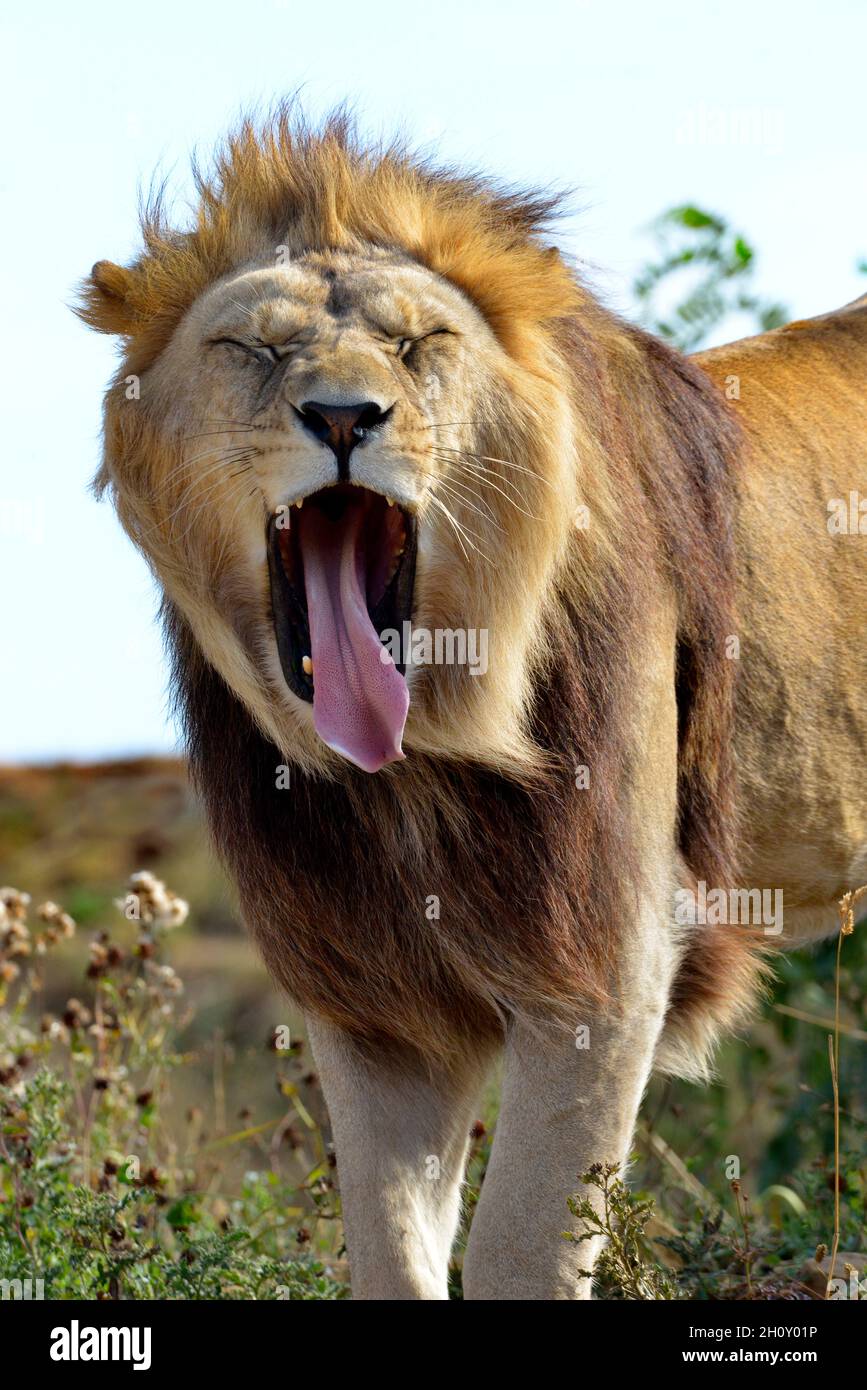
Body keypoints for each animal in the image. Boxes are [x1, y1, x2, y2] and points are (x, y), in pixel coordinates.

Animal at [78, 108, 867, 1300]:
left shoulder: (605, 971)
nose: (344, 416)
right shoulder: (373, 1001)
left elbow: (517, 1250)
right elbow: (392, 1251)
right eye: (252, 349)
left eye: (418, 346)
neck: (416, 762)